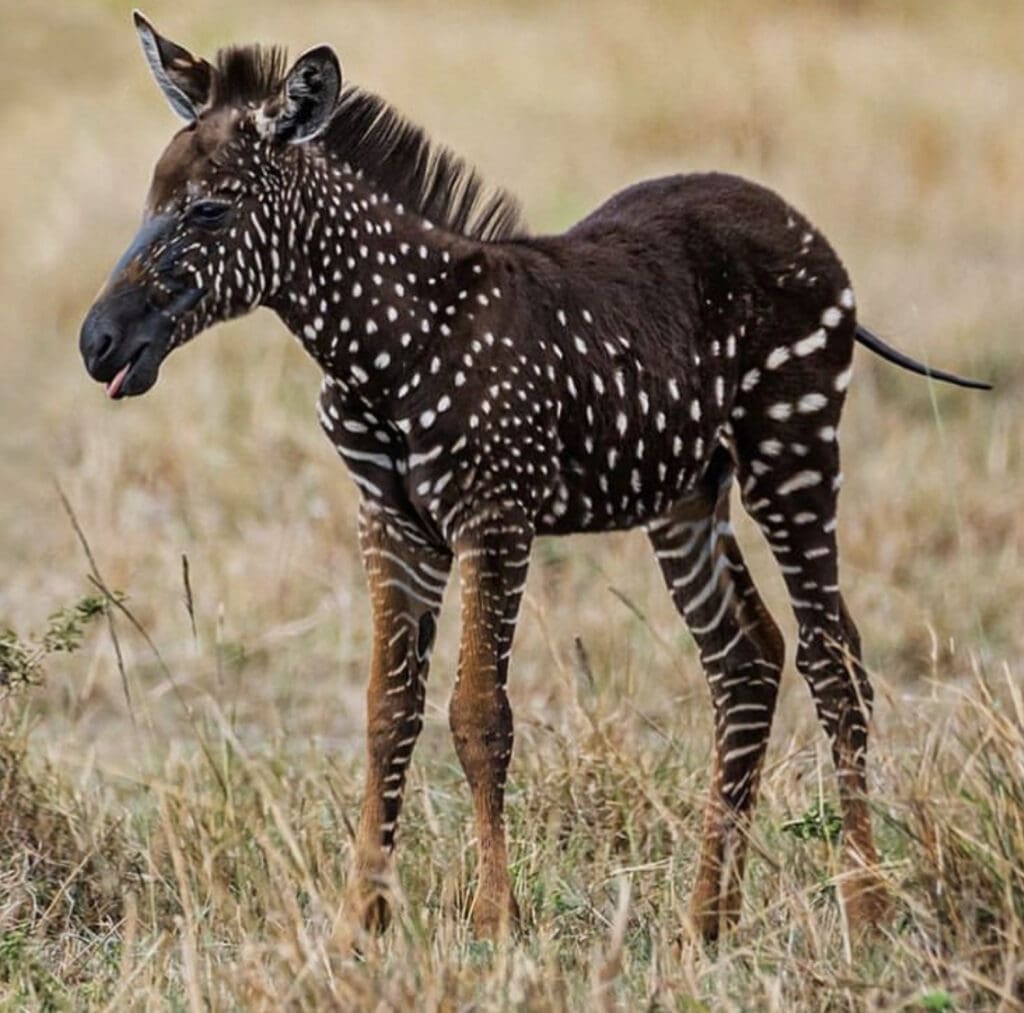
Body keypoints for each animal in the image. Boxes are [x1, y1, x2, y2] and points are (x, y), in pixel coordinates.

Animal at [79, 14, 989, 942]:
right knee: (747, 659)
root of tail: (794, 219)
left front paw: (492, 921)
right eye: (150, 202)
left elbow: (479, 715)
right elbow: (386, 713)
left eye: (209, 209)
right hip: (688, 494)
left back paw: (865, 908)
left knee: (834, 661)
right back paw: (706, 920)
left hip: (793, 446)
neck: (388, 344)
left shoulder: (495, 514)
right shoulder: (391, 522)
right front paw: (359, 921)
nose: (98, 344)